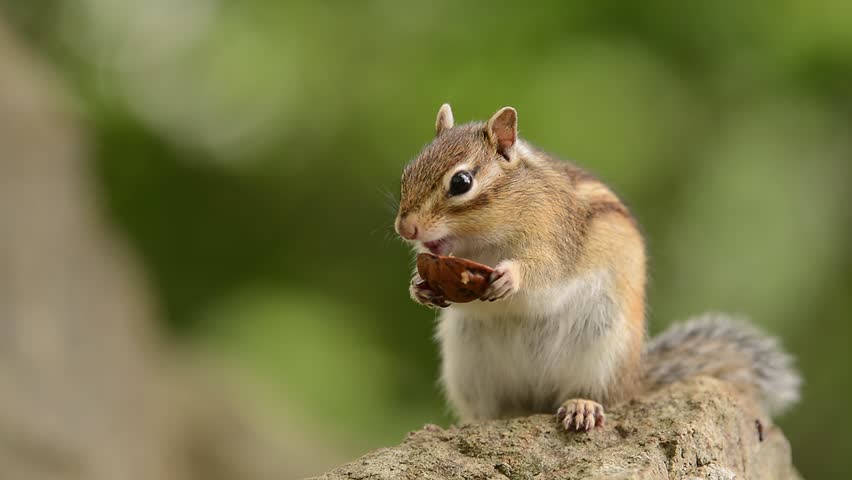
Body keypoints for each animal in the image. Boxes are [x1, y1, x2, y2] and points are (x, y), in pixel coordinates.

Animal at [394, 104, 801, 430]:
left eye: (461, 182)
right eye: (406, 173)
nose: (405, 228)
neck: (483, 241)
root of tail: (633, 380)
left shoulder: (556, 235)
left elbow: (544, 271)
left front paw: (511, 276)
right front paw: (418, 286)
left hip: (601, 347)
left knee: (595, 394)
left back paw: (582, 406)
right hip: (468, 364)